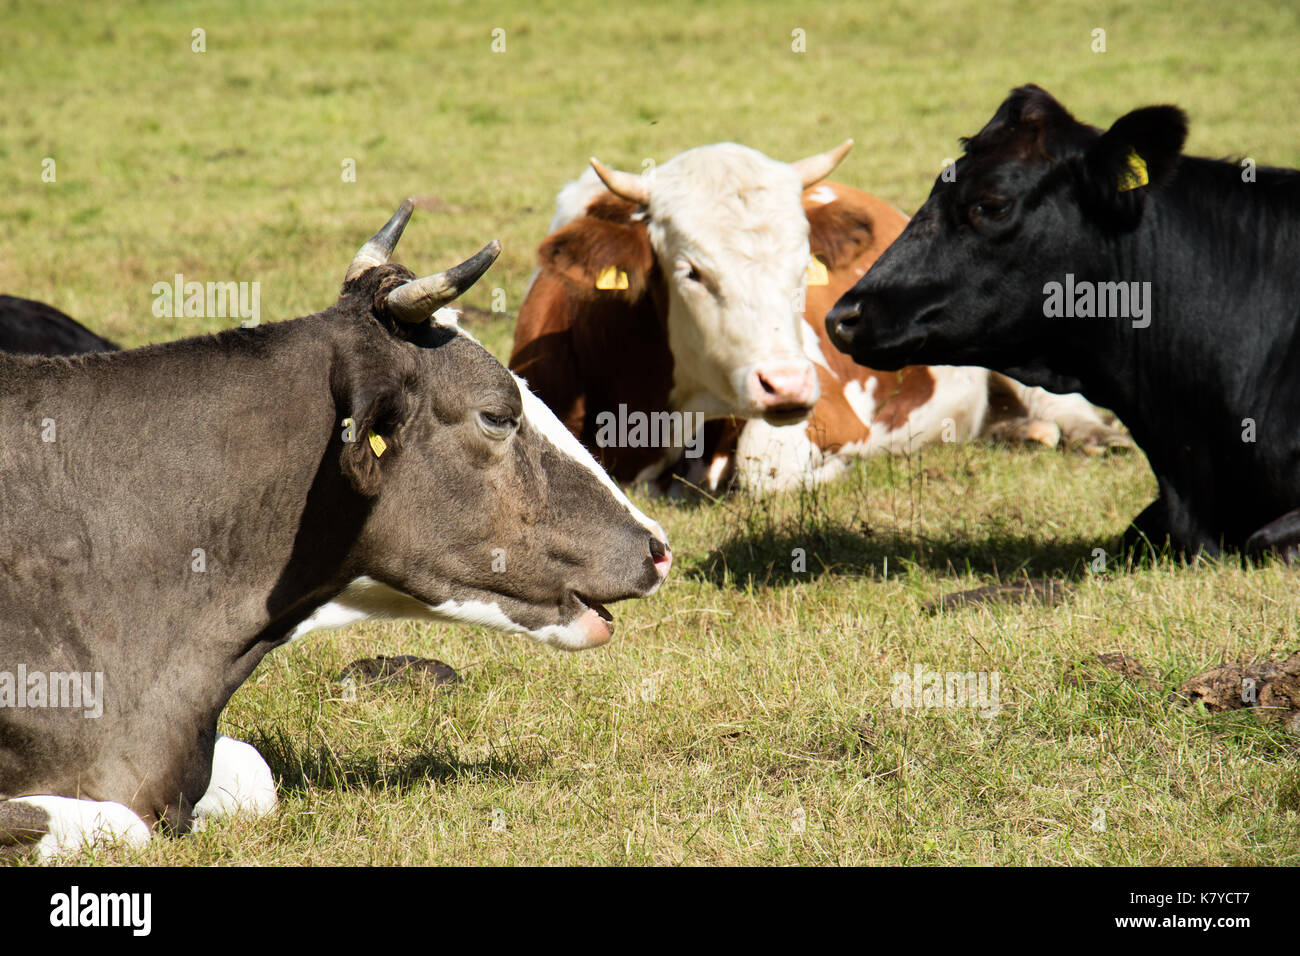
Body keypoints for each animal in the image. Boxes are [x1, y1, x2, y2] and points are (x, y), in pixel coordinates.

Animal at [509, 141, 1128, 495]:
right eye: (692, 271)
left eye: (800, 264)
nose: (786, 383)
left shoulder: (833, 414)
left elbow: (761, 468)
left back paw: (1092, 432)